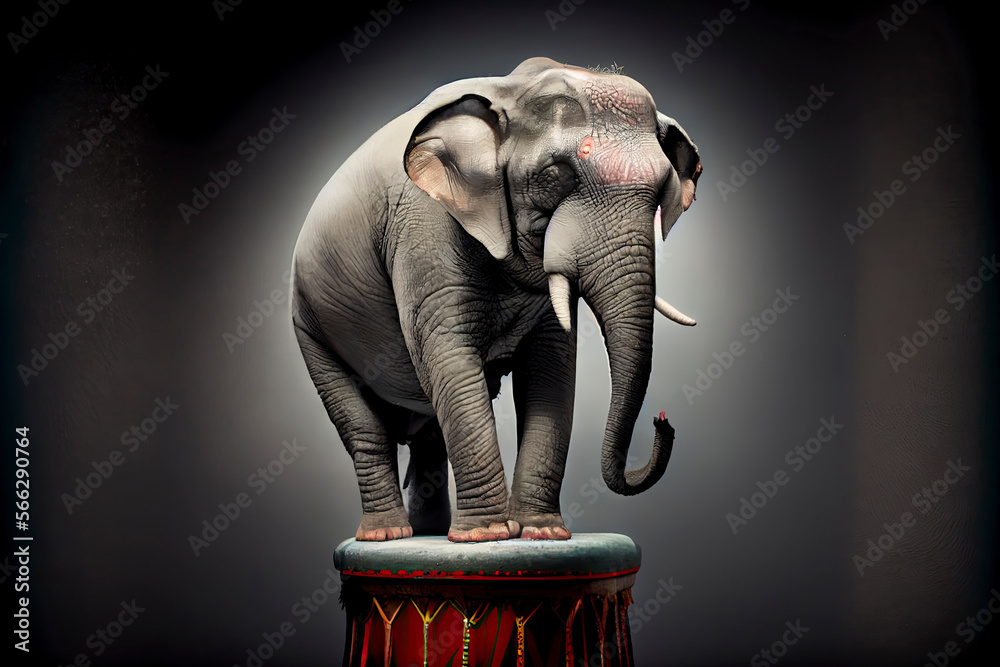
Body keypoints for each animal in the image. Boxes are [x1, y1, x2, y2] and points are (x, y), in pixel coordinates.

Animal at [290, 56, 702, 542]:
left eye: (663, 191)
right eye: (554, 175)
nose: (663, 421)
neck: (512, 89)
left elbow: (551, 370)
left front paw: (541, 533)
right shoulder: (424, 226)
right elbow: (448, 356)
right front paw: (486, 536)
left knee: (428, 433)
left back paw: (431, 533)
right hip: (310, 324)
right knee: (363, 427)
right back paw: (388, 536)